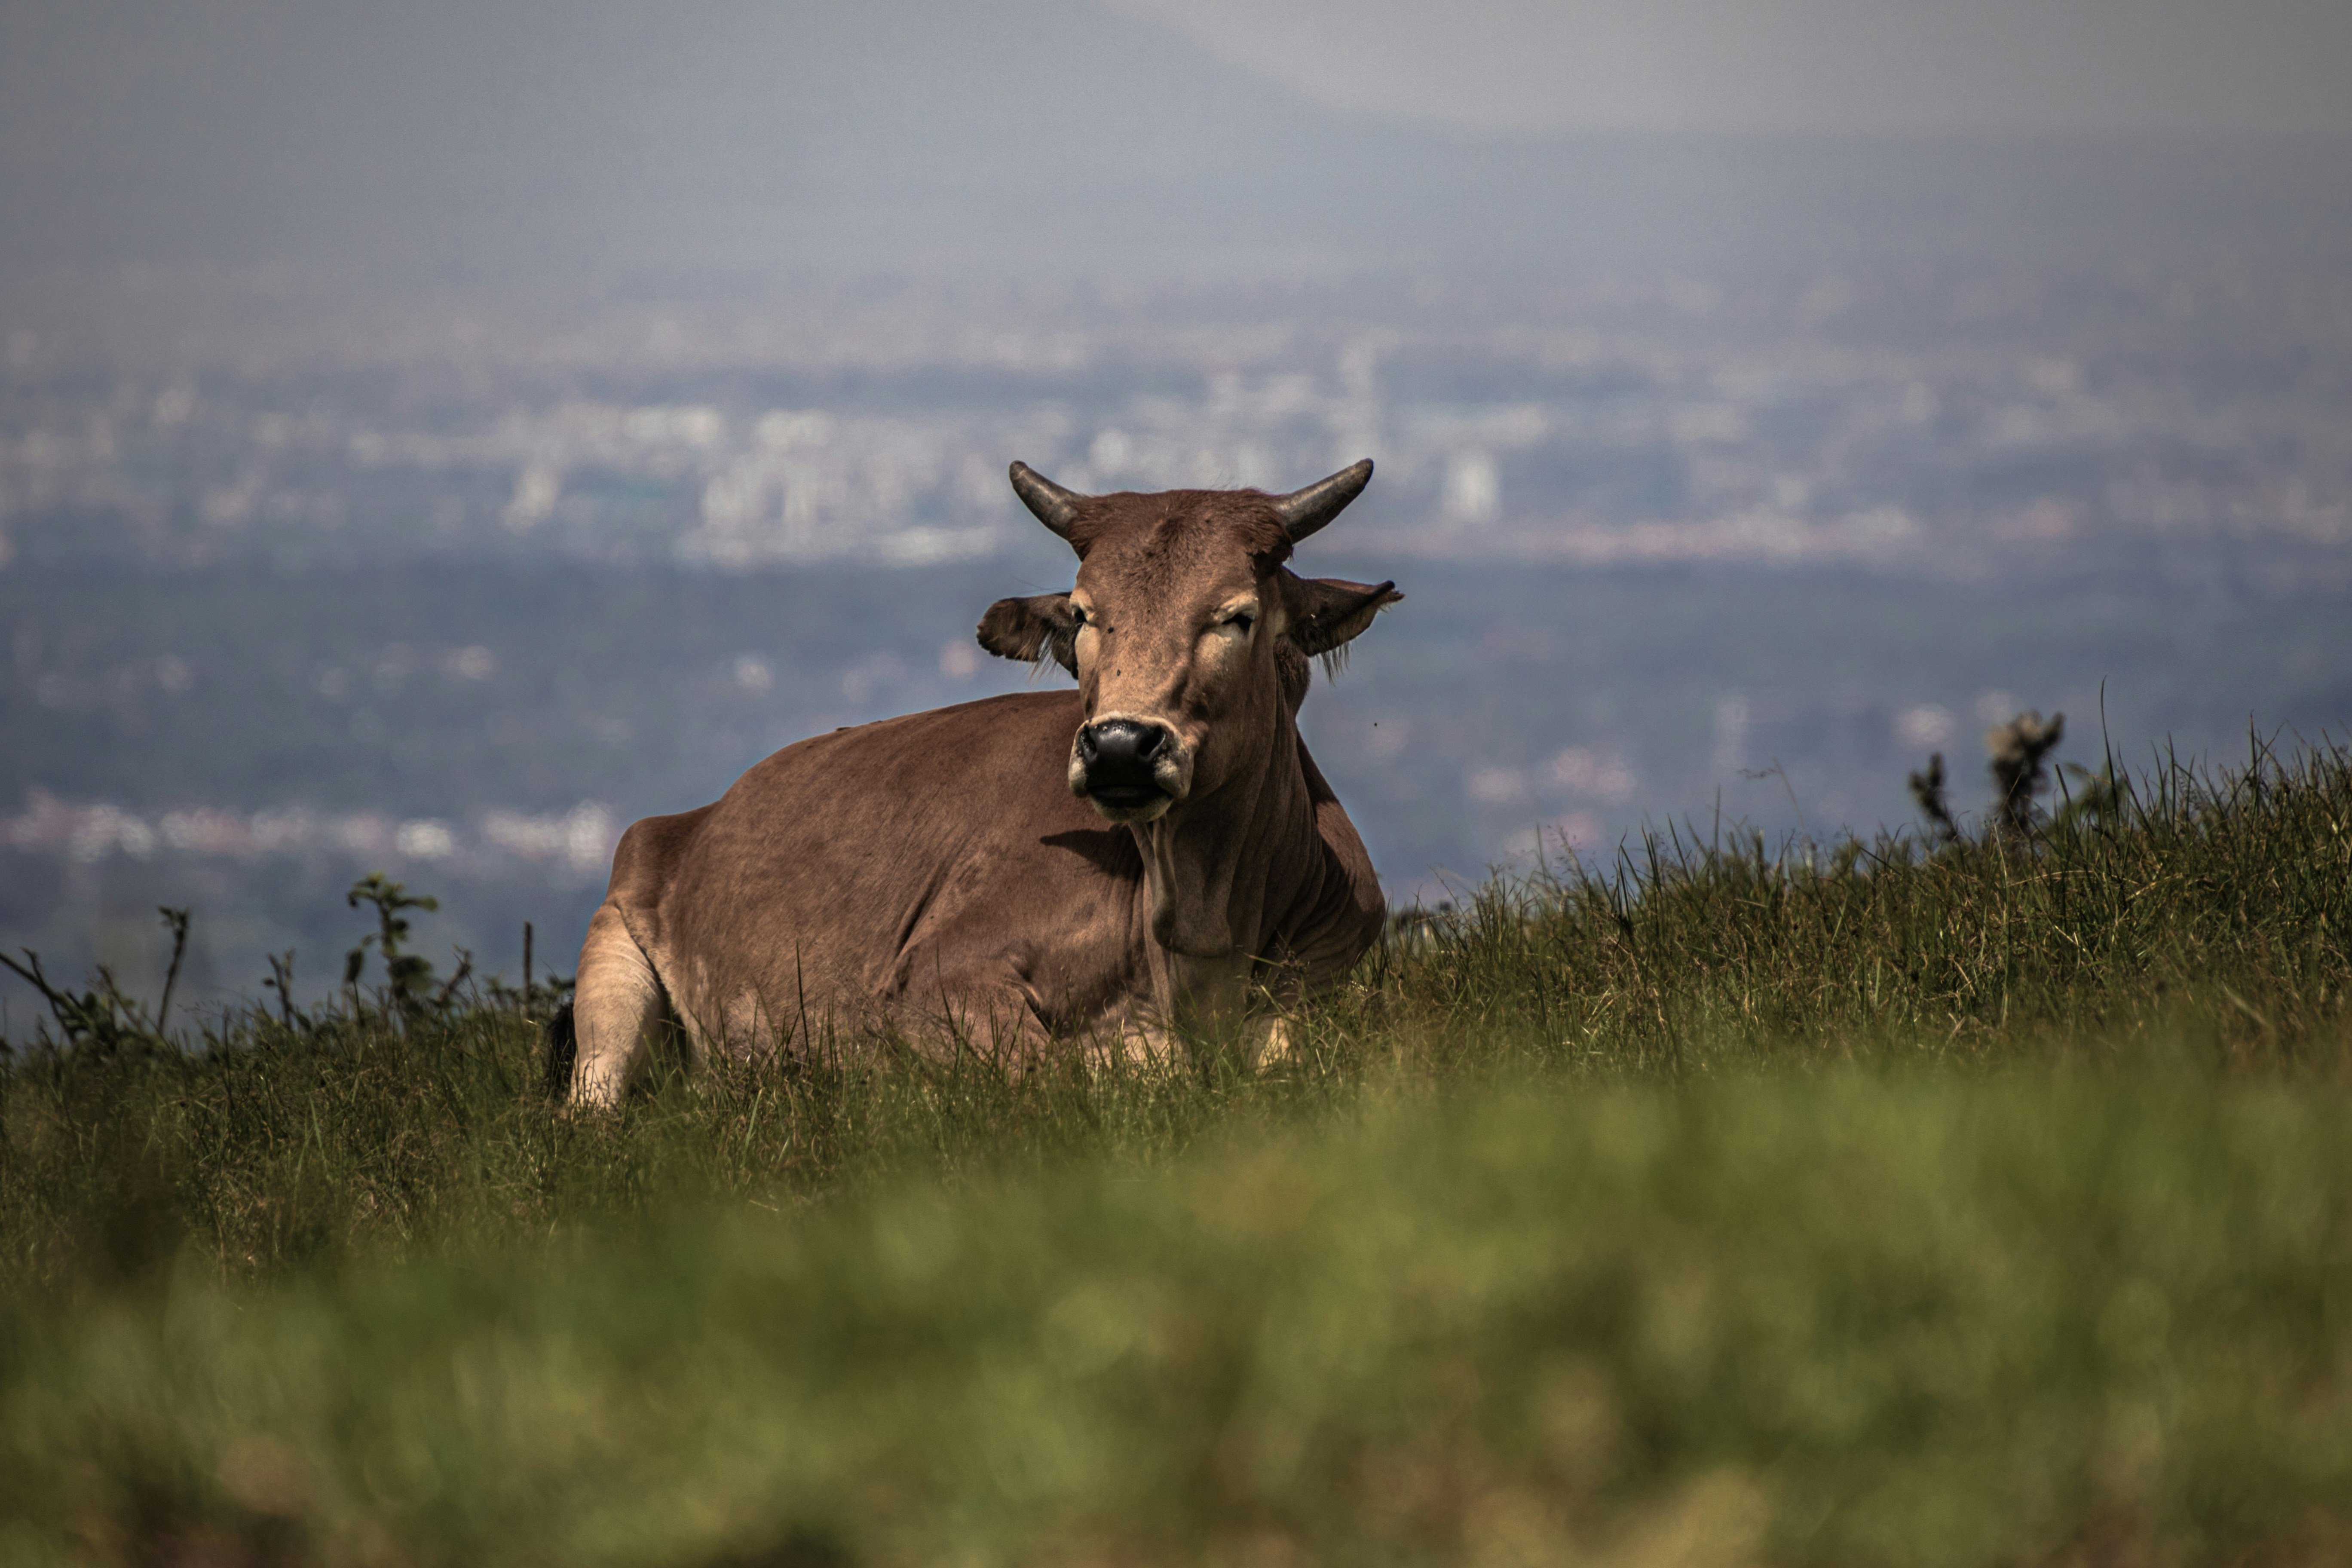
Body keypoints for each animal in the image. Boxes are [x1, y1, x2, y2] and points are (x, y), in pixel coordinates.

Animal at [548, 459, 1402, 1105]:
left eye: (1237, 615)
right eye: (1084, 614)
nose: (1121, 747)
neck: (1198, 927)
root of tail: (693, 818)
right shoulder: (936, 978)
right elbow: (1050, 1078)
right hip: (611, 974)